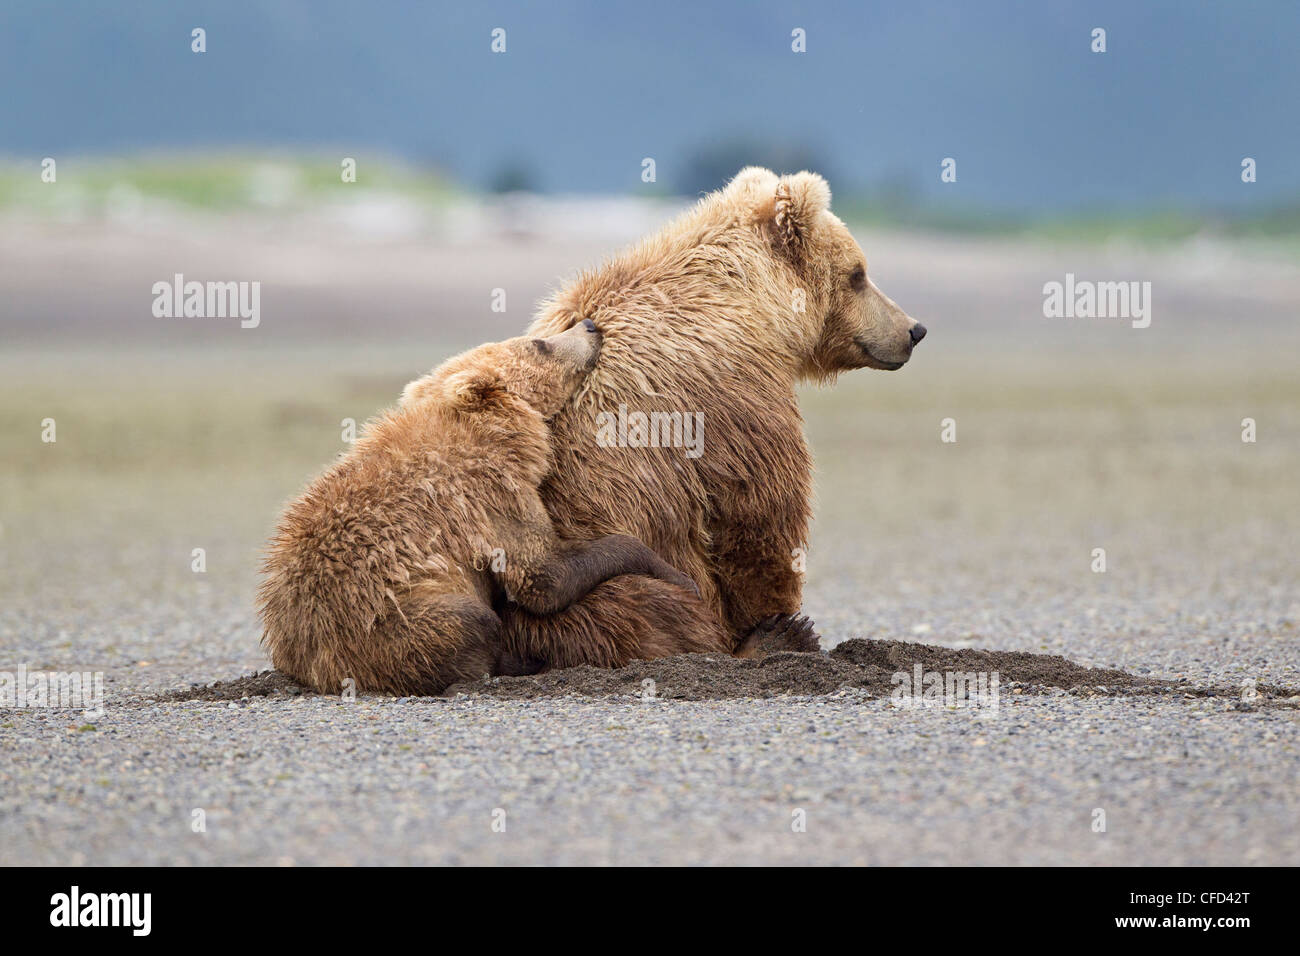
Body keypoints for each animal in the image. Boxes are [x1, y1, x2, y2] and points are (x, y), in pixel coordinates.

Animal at [258, 320, 729, 695]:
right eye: (538, 343)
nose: (590, 325)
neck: (493, 426)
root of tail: (301, 658)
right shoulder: (490, 494)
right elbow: (544, 576)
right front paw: (676, 576)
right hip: (384, 621)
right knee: (468, 625)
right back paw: (520, 662)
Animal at [499, 167, 925, 665]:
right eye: (858, 273)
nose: (913, 329)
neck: (756, 304)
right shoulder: (730, 388)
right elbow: (757, 507)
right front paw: (776, 620)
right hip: (580, 576)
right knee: (645, 607)